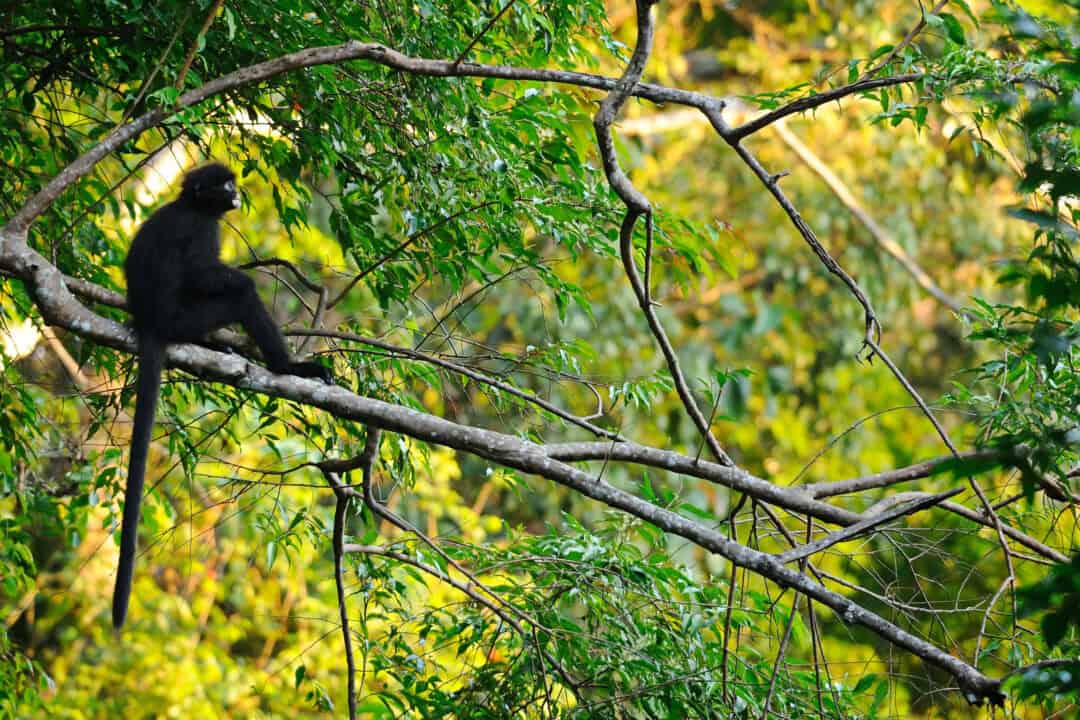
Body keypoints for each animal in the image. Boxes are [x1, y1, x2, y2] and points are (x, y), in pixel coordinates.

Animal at [114, 163, 331, 629]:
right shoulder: (199, 229)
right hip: (184, 318)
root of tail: (151, 323)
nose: (236, 193)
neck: (191, 206)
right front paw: (245, 275)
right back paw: (285, 366)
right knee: (238, 297)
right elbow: (202, 274)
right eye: (225, 184)